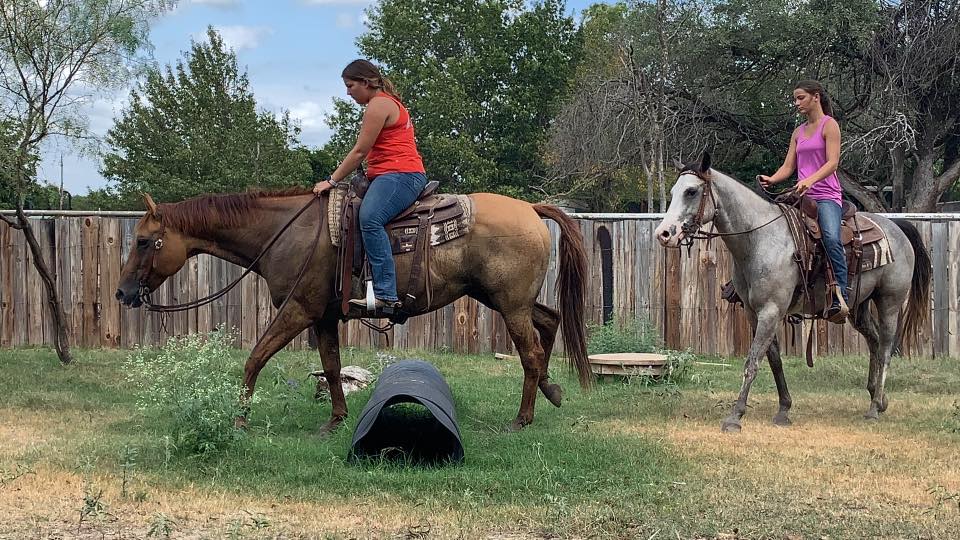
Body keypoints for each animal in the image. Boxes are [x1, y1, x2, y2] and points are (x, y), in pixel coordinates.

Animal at [115, 188, 592, 433]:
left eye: (143, 241)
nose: (121, 293)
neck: (287, 232)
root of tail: (531, 208)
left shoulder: (298, 310)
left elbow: (256, 357)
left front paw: (239, 417)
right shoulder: (323, 316)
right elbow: (330, 365)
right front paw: (336, 418)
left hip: (508, 303)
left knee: (530, 352)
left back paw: (523, 418)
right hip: (505, 299)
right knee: (548, 324)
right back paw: (551, 390)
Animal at [654, 153, 931, 432]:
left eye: (691, 191)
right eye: (673, 191)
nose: (663, 234)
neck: (760, 239)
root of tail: (896, 226)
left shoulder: (771, 311)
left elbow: (752, 361)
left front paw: (735, 416)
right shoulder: (755, 313)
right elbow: (774, 360)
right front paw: (783, 409)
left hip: (889, 301)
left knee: (885, 348)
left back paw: (874, 408)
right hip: (858, 306)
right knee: (873, 341)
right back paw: (878, 398)